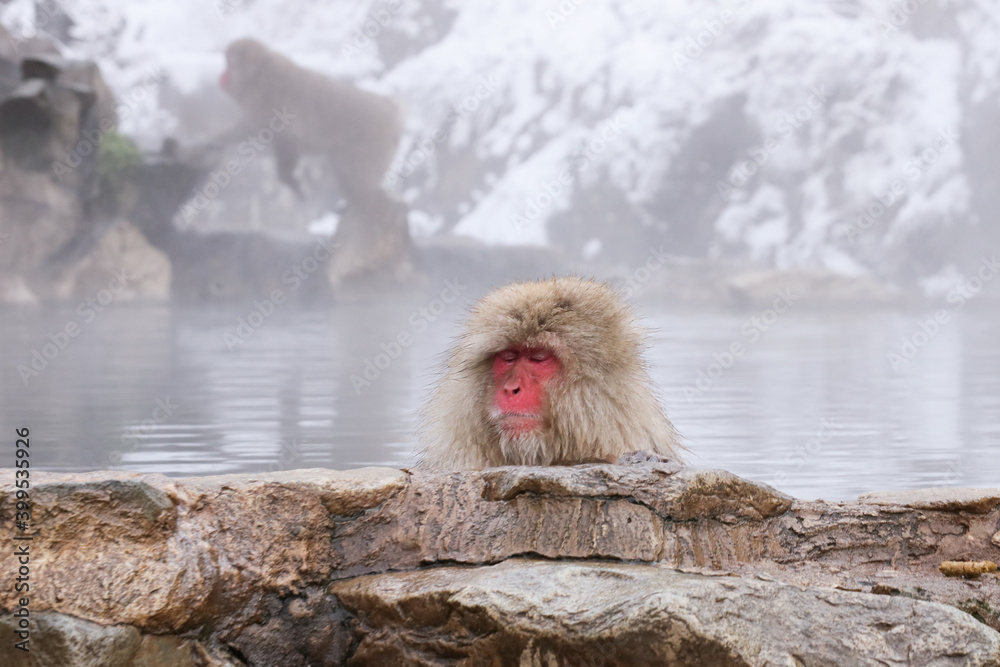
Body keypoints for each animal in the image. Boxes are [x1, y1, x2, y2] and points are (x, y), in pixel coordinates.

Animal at [219, 38, 401, 206]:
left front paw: (289, 180)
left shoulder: (275, 96)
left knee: (359, 184)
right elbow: (251, 129)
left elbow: (289, 136)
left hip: (369, 147)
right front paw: (213, 141)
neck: (257, 75)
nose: (222, 77)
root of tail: (391, 111)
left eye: (230, 64)